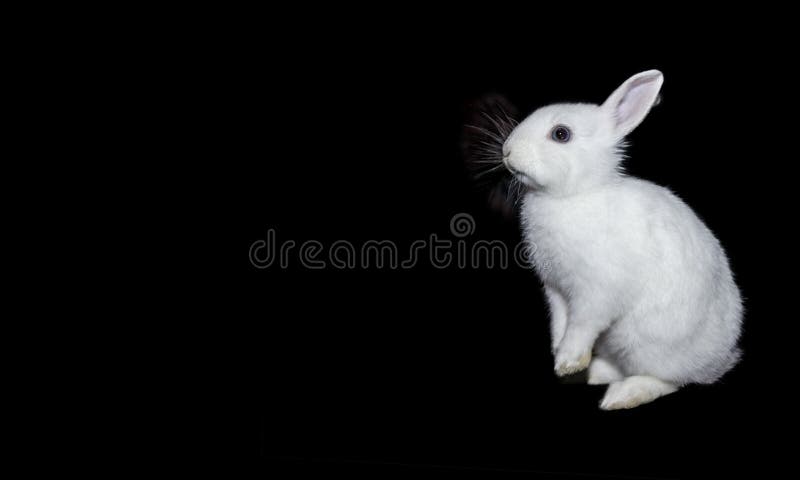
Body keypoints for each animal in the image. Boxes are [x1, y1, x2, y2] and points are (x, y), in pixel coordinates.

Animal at [501, 70, 743, 409]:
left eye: (561, 134)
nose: (507, 151)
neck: (574, 195)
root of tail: (721, 359)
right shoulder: (557, 290)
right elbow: (560, 322)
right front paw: (562, 355)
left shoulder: (596, 293)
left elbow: (582, 325)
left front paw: (568, 362)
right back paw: (597, 372)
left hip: (648, 344)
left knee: (670, 380)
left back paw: (622, 395)